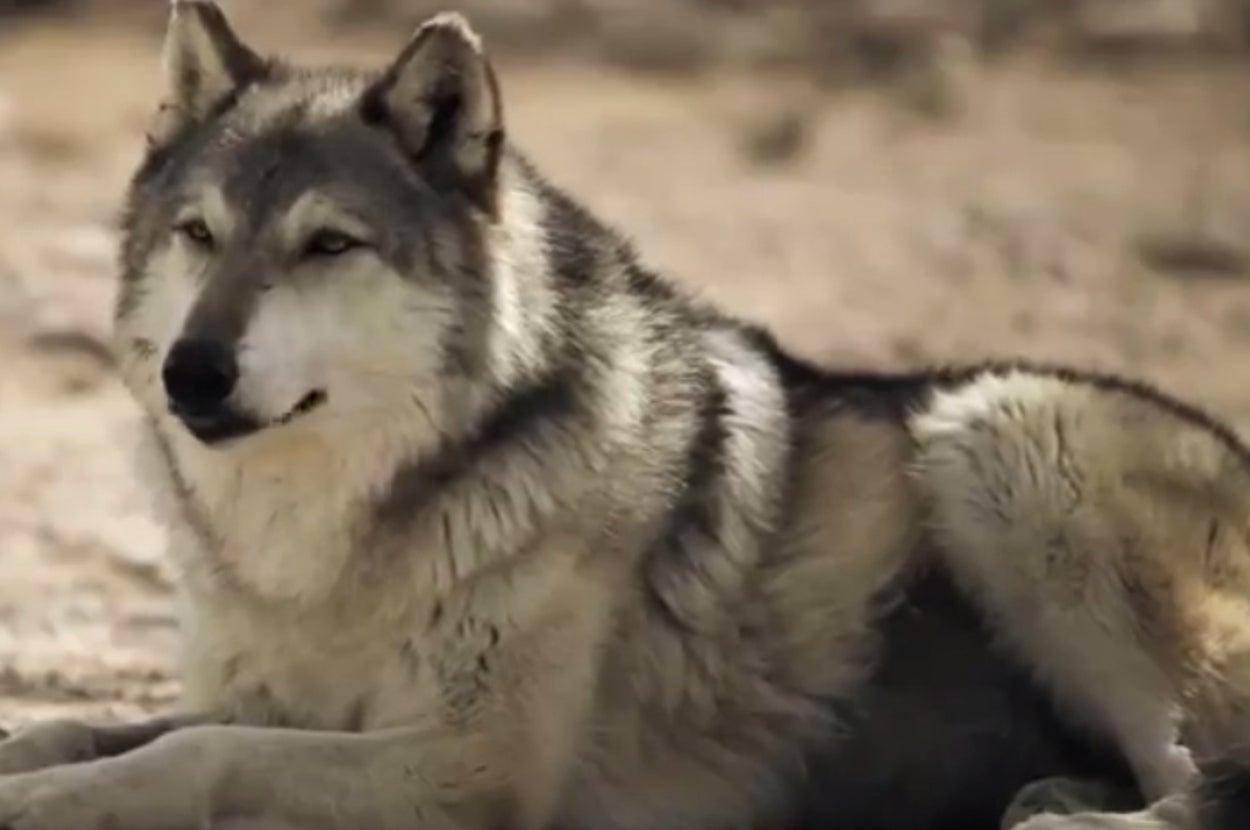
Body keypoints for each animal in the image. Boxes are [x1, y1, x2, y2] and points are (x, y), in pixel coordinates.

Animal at [1, 1, 1249, 828]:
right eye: (199, 234)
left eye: (326, 244)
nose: (192, 371)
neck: (323, 550)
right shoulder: (273, 702)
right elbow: (91, 727)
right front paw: (36, 760)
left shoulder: (473, 761)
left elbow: (196, 757)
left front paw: (50, 799)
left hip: (997, 432)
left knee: (1203, 791)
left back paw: (1054, 814)